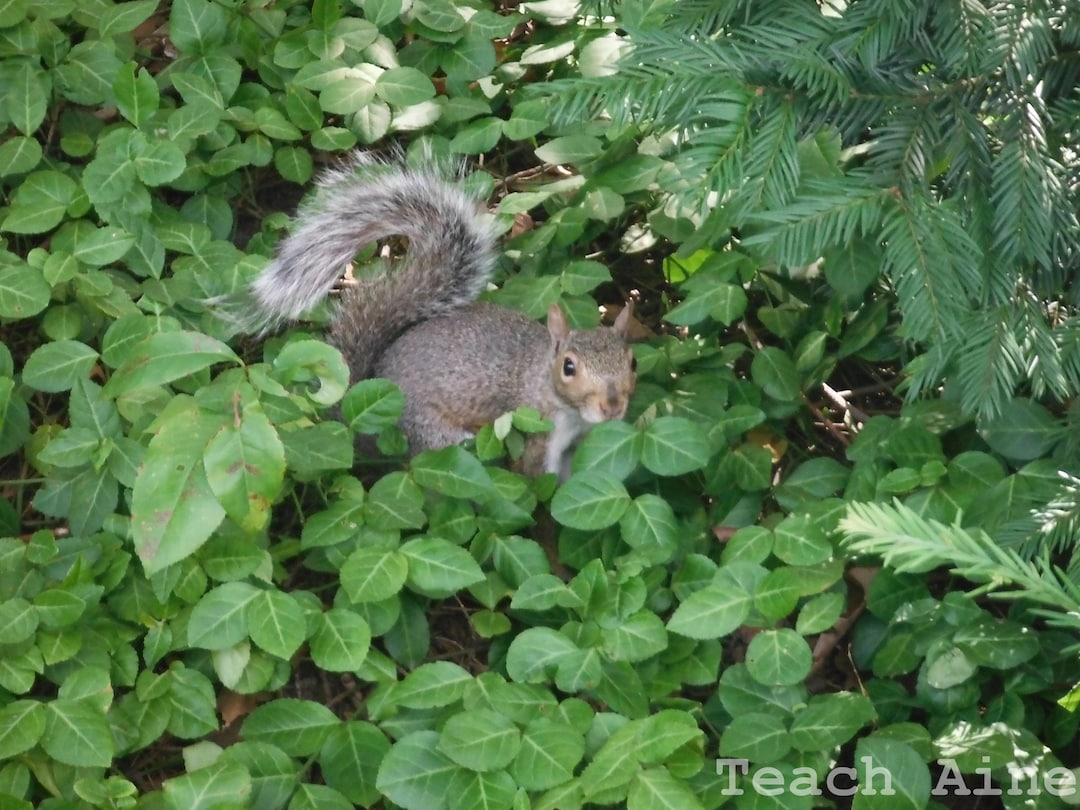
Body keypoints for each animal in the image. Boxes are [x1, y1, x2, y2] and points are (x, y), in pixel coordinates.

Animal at [244, 150, 637, 479]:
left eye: (632, 362)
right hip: (440, 439)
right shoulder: (537, 430)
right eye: (568, 367)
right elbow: (538, 481)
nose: (613, 407)